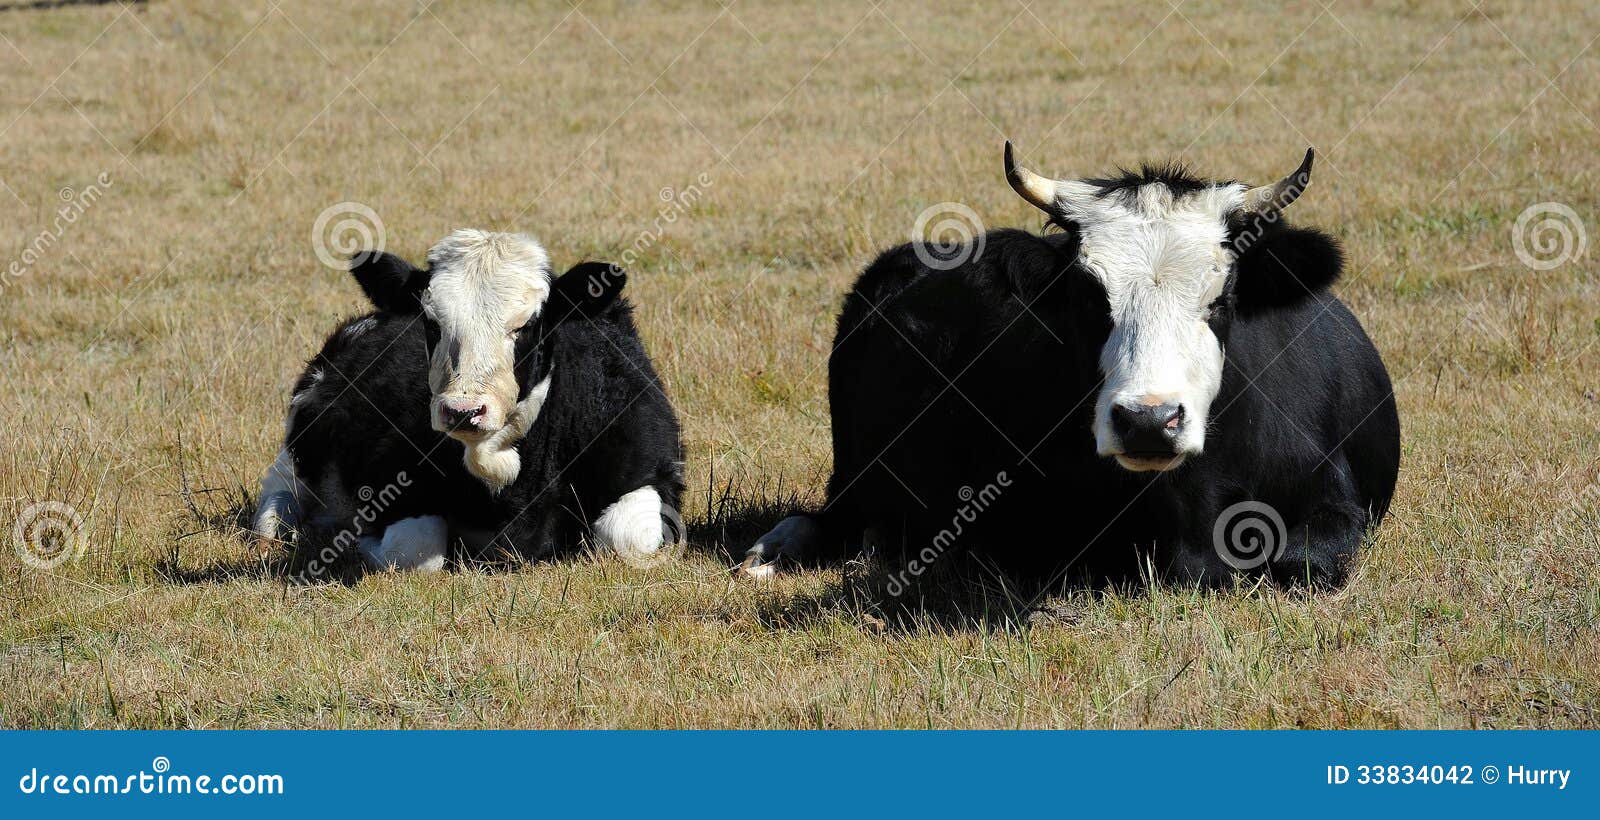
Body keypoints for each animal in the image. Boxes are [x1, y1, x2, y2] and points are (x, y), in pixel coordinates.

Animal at [252, 229, 684, 575]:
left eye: (528, 325)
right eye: (431, 322)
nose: (463, 411)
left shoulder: (651, 465)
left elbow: (625, 537)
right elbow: (414, 550)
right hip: (300, 438)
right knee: (279, 491)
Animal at [743, 143, 1400, 588]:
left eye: (1221, 299)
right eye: (1088, 295)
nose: (1148, 421)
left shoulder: (1333, 501)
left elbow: (1300, 562)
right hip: (853, 472)